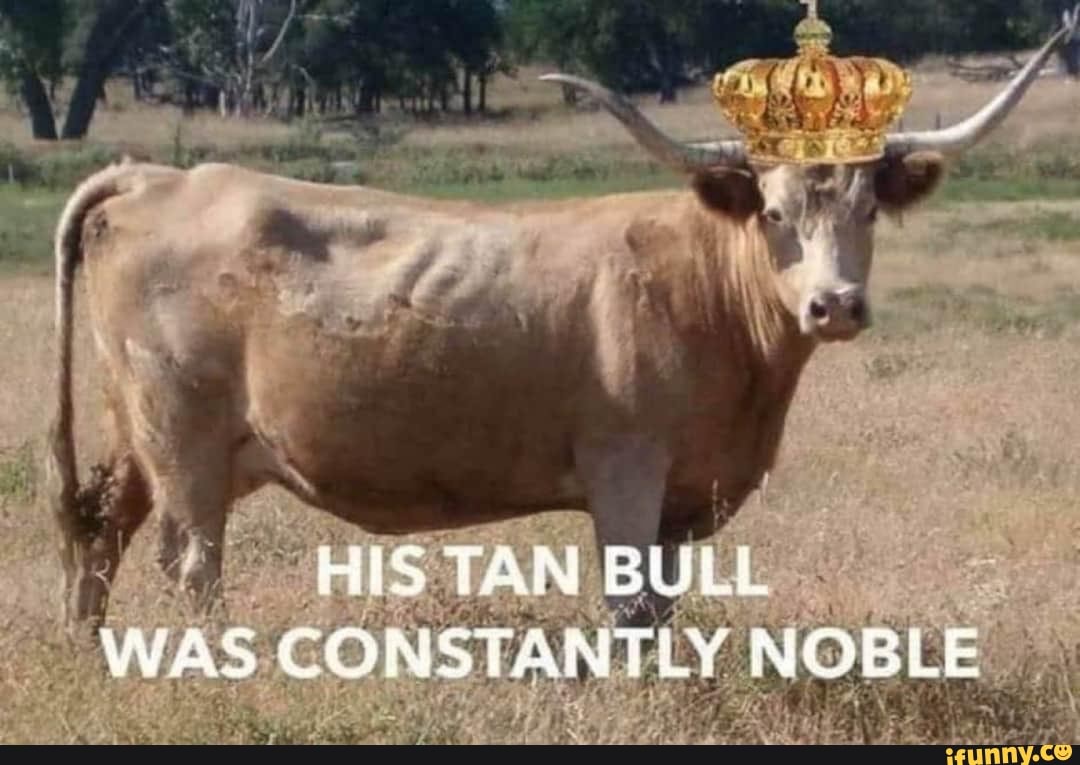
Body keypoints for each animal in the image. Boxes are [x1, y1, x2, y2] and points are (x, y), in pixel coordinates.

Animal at [45, 14, 1077, 643]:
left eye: (867, 208)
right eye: (776, 212)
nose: (835, 305)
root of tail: (158, 176)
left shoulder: (681, 497)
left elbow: (661, 609)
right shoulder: (625, 469)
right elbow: (627, 609)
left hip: (143, 435)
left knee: (99, 530)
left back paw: (92, 655)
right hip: (185, 440)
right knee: (190, 563)